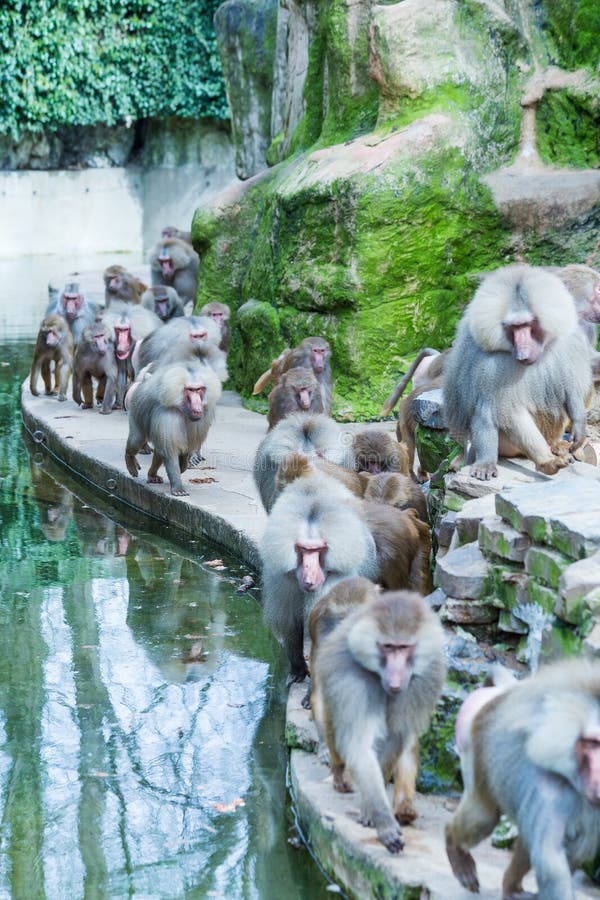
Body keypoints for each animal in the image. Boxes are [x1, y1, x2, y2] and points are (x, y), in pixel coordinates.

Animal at [125, 361, 221, 496]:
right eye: (190, 390)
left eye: (199, 389)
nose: (198, 408)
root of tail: (144, 381)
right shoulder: (168, 417)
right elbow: (170, 451)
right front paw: (178, 488)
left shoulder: (202, 418)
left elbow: (188, 446)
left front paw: (188, 461)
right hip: (136, 409)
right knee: (137, 439)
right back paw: (130, 459)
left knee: (159, 451)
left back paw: (152, 475)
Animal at [260, 470, 379, 682]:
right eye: (303, 549)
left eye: (318, 549)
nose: (309, 577)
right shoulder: (283, 580)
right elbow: (290, 624)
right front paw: (298, 669)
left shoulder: (336, 583)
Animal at [312, 587, 446, 853]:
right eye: (388, 647)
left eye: (404, 648)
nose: (395, 679)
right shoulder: (351, 677)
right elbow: (358, 744)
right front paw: (382, 821)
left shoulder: (421, 679)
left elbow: (397, 737)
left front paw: (372, 810)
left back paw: (403, 808)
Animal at [443, 264, 592, 480]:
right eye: (513, 328)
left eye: (527, 325)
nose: (523, 354)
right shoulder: (482, 366)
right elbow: (484, 409)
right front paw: (486, 464)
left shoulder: (566, 344)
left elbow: (570, 389)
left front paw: (579, 426)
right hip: (508, 447)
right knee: (508, 409)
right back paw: (547, 462)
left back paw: (558, 448)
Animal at [446, 658, 600, 900]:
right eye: (593, 743)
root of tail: (503, 693)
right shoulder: (550, 790)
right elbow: (550, 859)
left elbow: (575, 851)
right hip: (475, 742)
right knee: (484, 817)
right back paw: (454, 848)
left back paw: (511, 887)